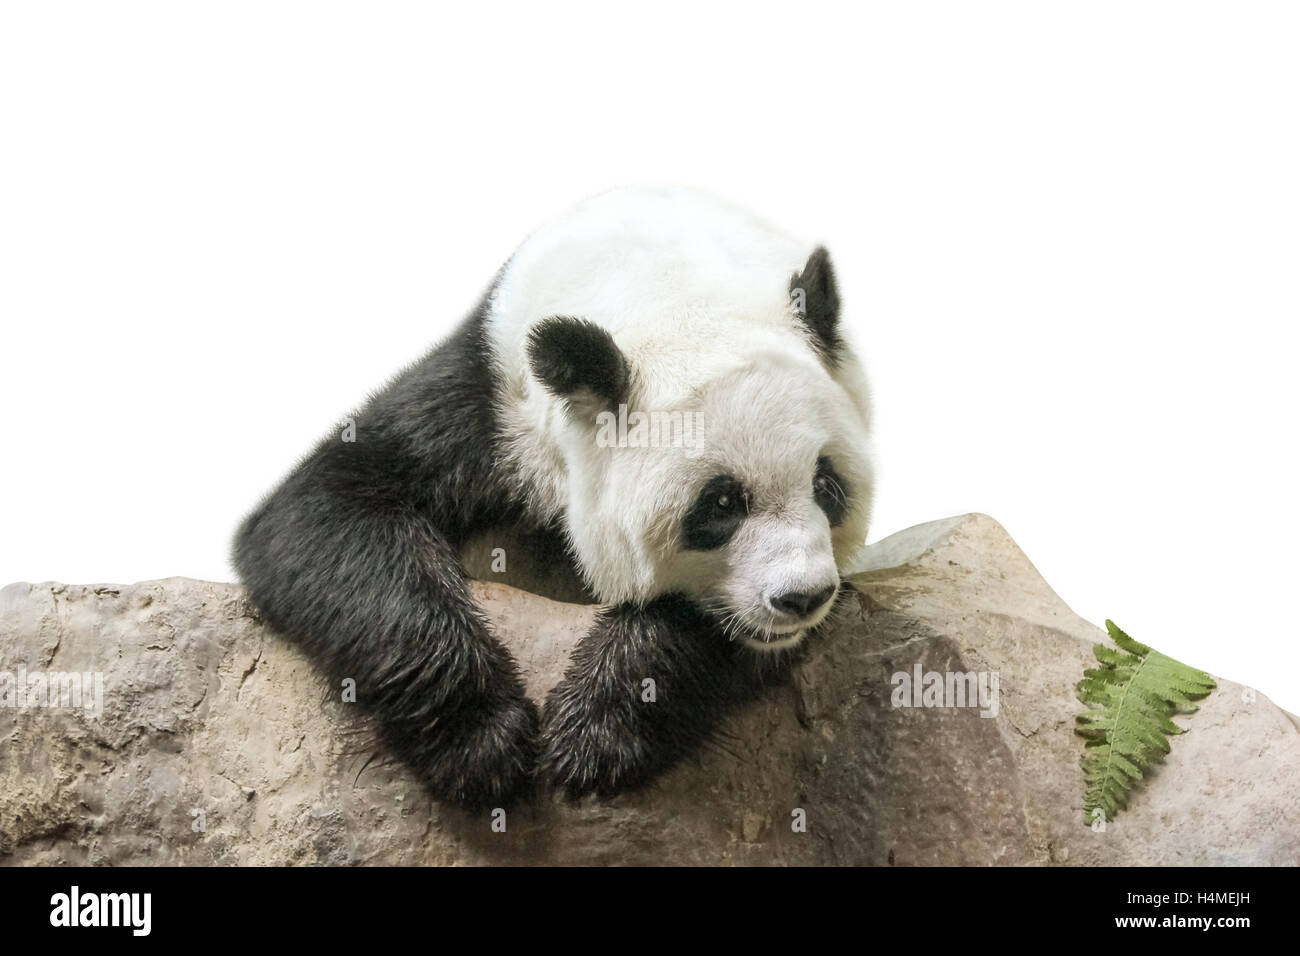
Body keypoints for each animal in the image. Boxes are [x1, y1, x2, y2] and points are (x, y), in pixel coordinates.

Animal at [233, 186, 874, 809]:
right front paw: (483, 743)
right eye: (720, 506)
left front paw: (597, 730)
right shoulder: (490, 397)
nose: (801, 597)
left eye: (826, 487)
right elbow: (328, 509)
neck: (669, 282)